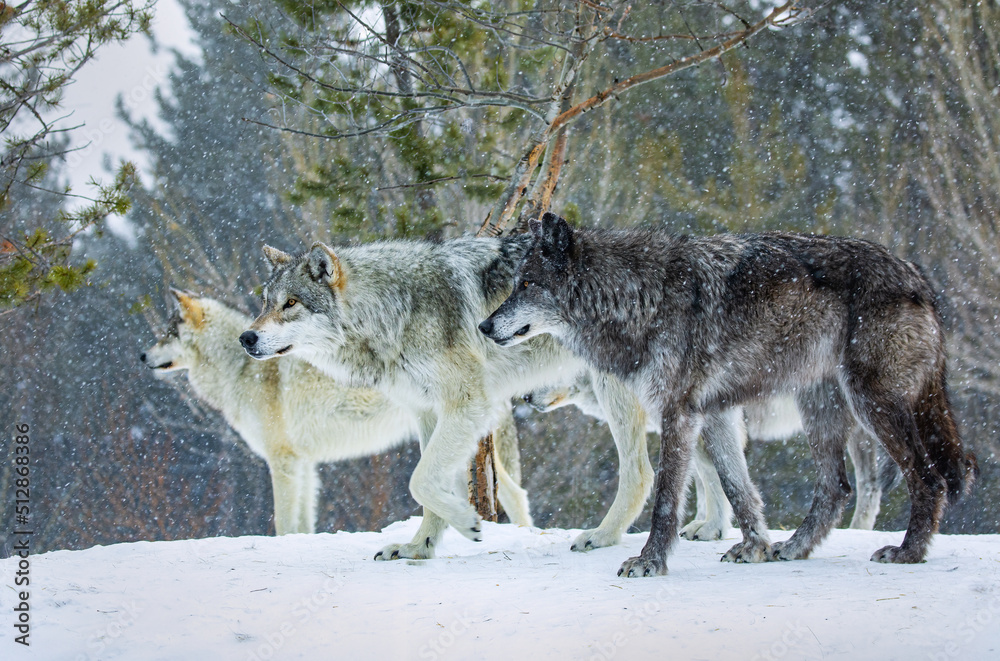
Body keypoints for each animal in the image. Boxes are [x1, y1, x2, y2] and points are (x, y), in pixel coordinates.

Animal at [141, 289, 533, 535]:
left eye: (167, 333)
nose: (142, 356)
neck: (241, 370)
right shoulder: (303, 465)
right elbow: (302, 525)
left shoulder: (282, 462)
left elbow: (283, 523)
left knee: (515, 494)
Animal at [238, 238, 653, 559]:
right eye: (265, 303)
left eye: (291, 303)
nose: (246, 337)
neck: (392, 311)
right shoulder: (429, 412)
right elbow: (430, 485)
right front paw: (419, 547)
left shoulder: (468, 403)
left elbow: (419, 480)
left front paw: (468, 522)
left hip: (612, 392)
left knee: (640, 471)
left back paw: (602, 537)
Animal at [524, 375, 890, 539]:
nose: (525, 398)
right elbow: (707, 480)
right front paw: (707, 524)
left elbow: (718, 478)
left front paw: (713, 528)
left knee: (871, 485)